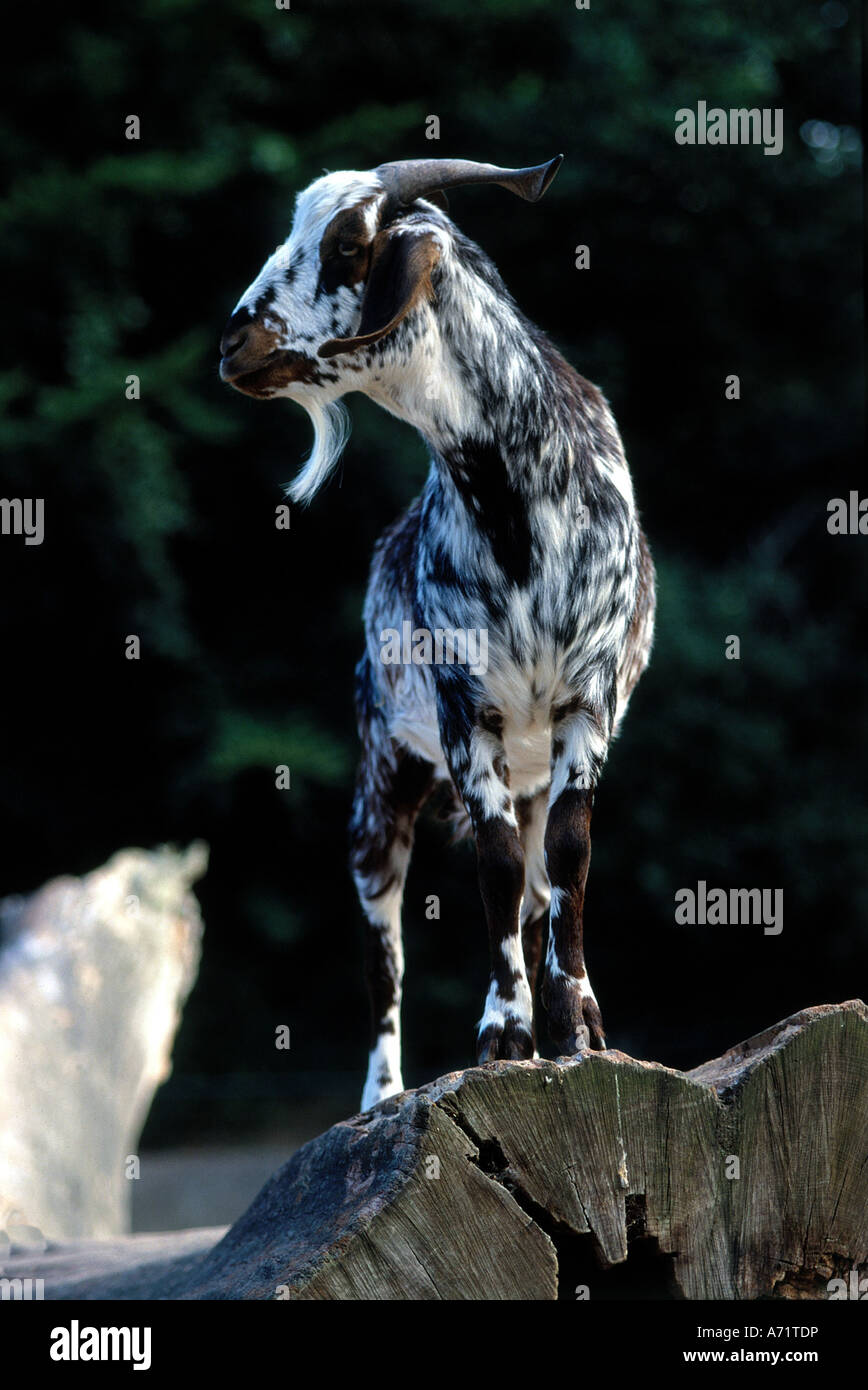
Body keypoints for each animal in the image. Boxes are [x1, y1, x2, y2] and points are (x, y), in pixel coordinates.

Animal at [219, 156, 656, 1111]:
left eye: (348, 244)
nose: (233, 344)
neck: (522, 510)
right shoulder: (463, 717)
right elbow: (493, 867)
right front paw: (504, 1038)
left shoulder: (588, 705)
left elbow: (568, 856)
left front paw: (579, 1031)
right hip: (383, 775)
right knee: (384, 948)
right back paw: (383, 1094)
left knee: (535, 886)